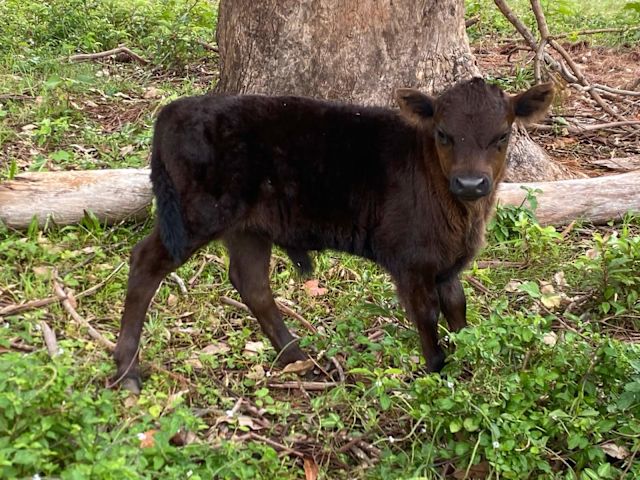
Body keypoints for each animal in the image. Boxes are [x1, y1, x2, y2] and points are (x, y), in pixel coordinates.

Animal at [112, 77, 554, 392]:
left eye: (502, 135)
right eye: (443, 133)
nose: (471, 183)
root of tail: (175, 108)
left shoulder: (448, 266)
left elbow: (458, 309)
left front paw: (470, 365)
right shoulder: (411, 264)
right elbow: (426, 315)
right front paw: (437, 372)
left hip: (248, 228)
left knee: (250, 282)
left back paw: (298, 358)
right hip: (196, 216)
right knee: (145, 263)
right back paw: (127, 373)